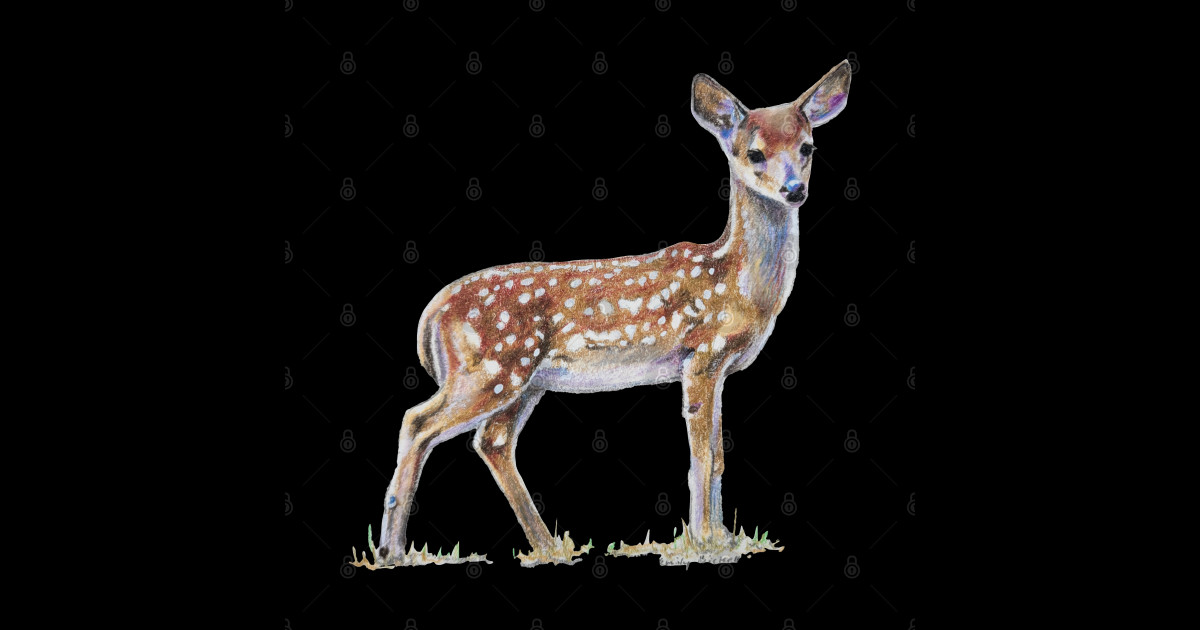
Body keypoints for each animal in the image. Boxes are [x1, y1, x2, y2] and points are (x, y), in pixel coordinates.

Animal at [363, 61, 851, 567]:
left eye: (808, 147)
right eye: (754, 153)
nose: (794, 190)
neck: (738, 284)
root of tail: (431, 313)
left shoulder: (719, 367)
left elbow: (718, 453)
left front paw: (720, 539)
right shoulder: (701, 354)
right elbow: (703, 456)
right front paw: (704, 541)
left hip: (523, 381)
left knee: (491, 441)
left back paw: (548, 545)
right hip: (490, 369)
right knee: (418, 421)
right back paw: (392, 550)